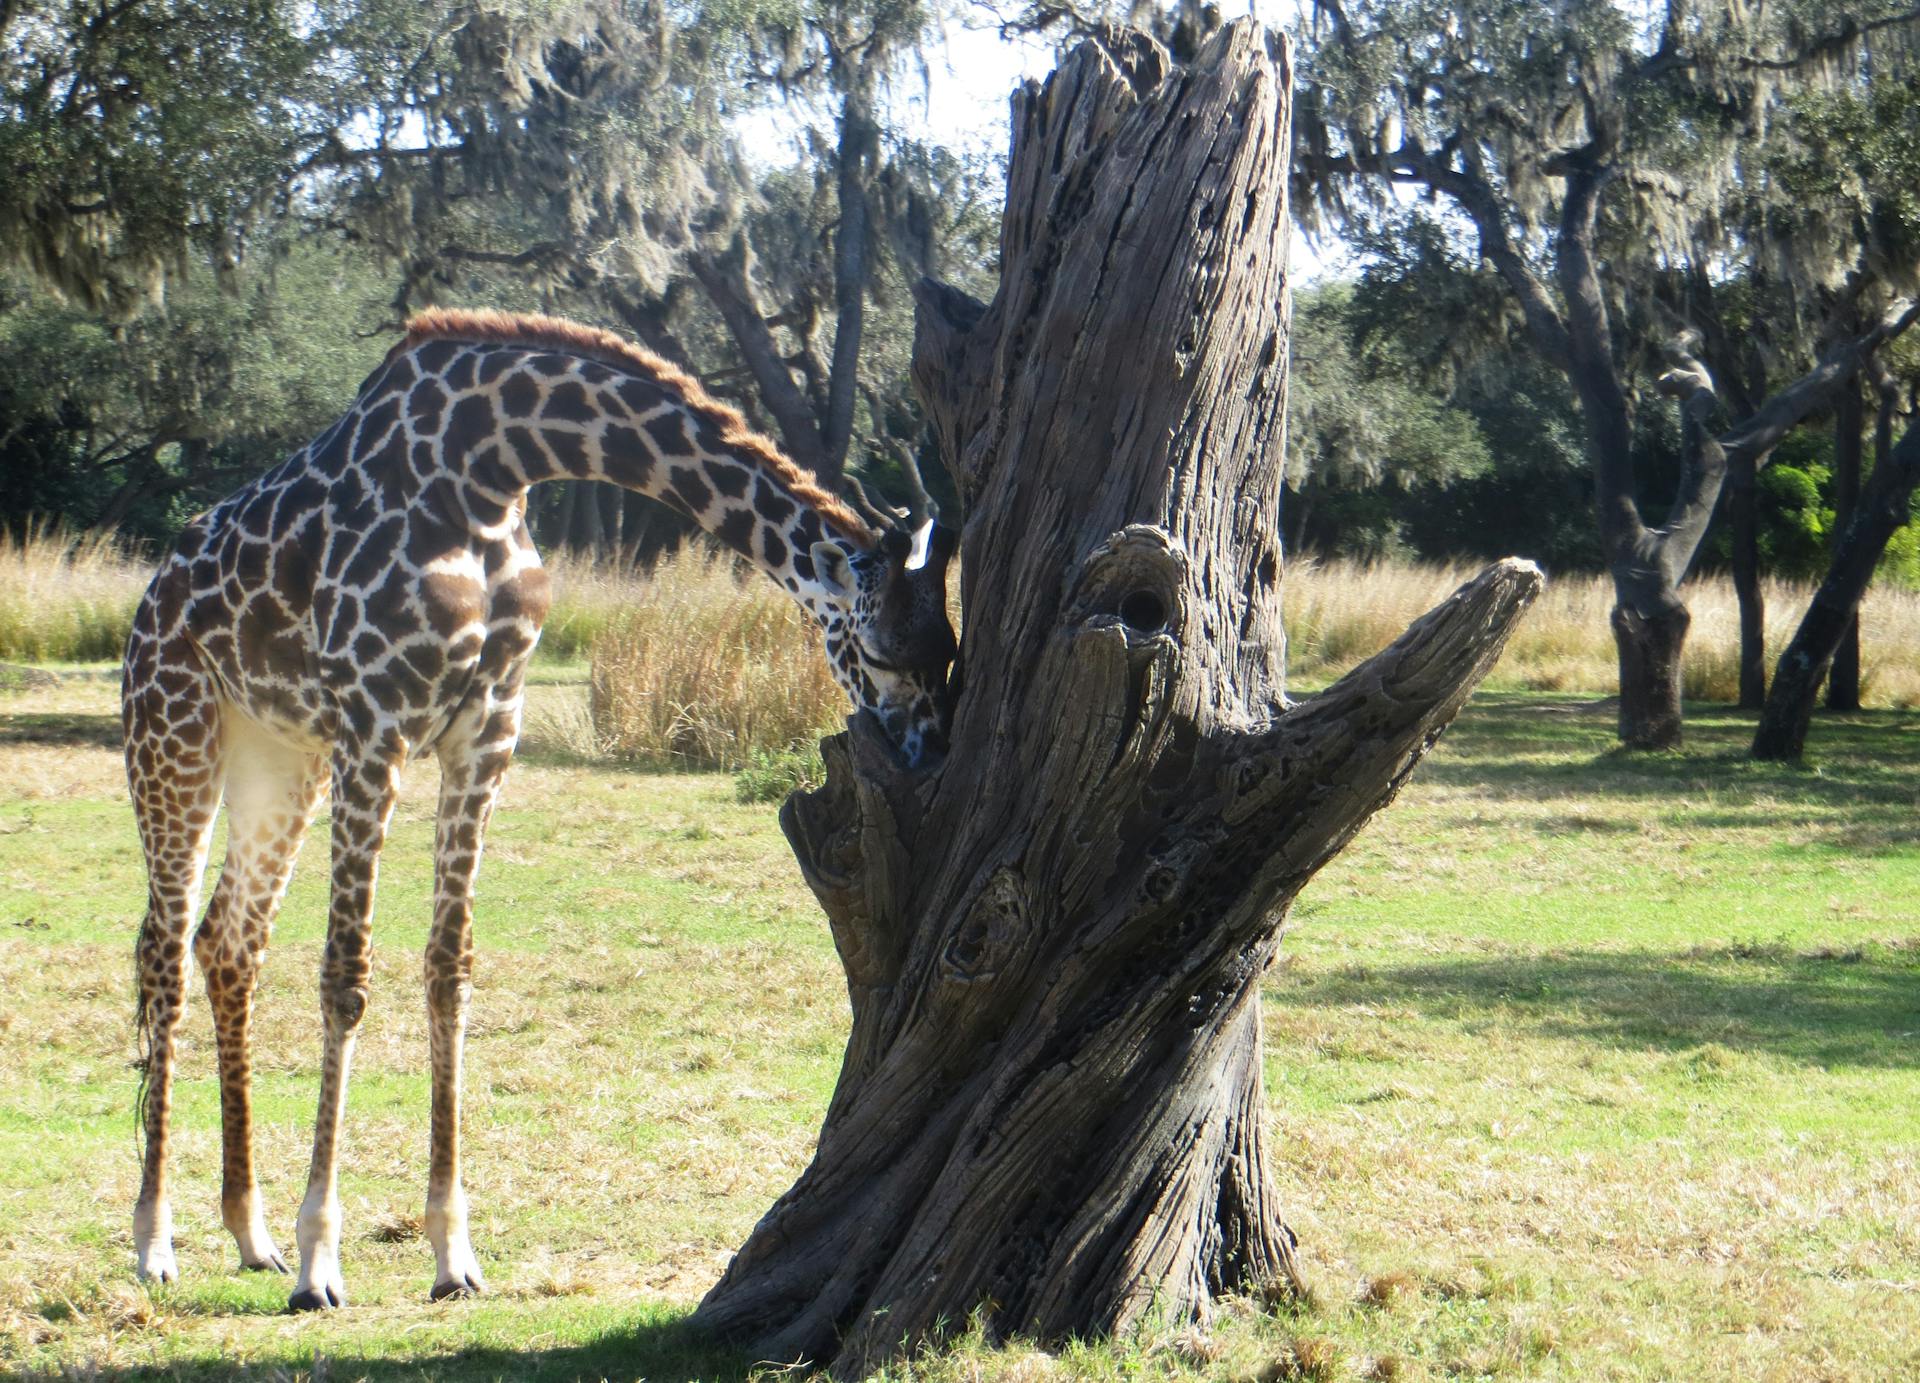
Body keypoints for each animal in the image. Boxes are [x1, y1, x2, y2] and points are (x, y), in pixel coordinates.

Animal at [122, 308, 958, 1310]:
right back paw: (155, 1243)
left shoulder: (488, 729)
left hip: (280, 759)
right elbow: (346, 976)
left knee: (228, 942)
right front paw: (323, 1262)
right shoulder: (376, 722)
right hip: (176, 737)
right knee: (163, 951)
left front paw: (452, 1252)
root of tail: (147, 603)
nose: (929, 753)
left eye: (949, 650)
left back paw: (249, 1234)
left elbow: (450, 967)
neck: (488, 464)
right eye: (878, 649)